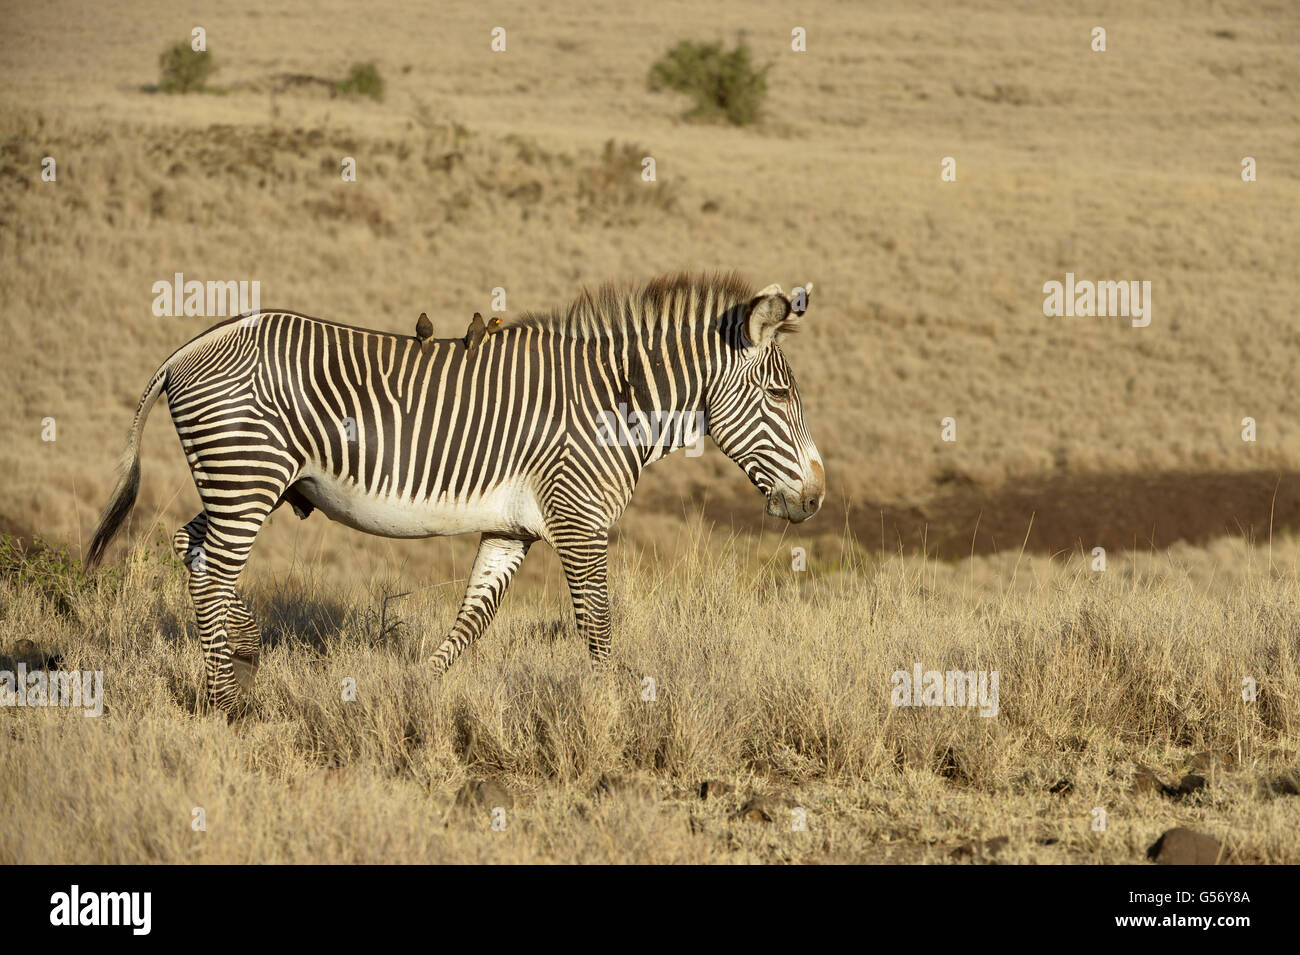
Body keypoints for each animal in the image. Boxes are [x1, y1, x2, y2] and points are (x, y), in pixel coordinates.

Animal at [86, 273, 825, 713]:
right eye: (779, 394)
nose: (817, 497)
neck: (618, 403)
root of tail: (193, 346)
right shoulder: (579, 519)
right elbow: (597, 625)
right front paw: (606, 716)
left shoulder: (514, 527)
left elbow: (473, 620)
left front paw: (417, 692)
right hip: (248, 474)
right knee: (212, 567)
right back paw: (225, 699)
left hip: (240, 481)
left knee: (191, 546)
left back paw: (239, 656)